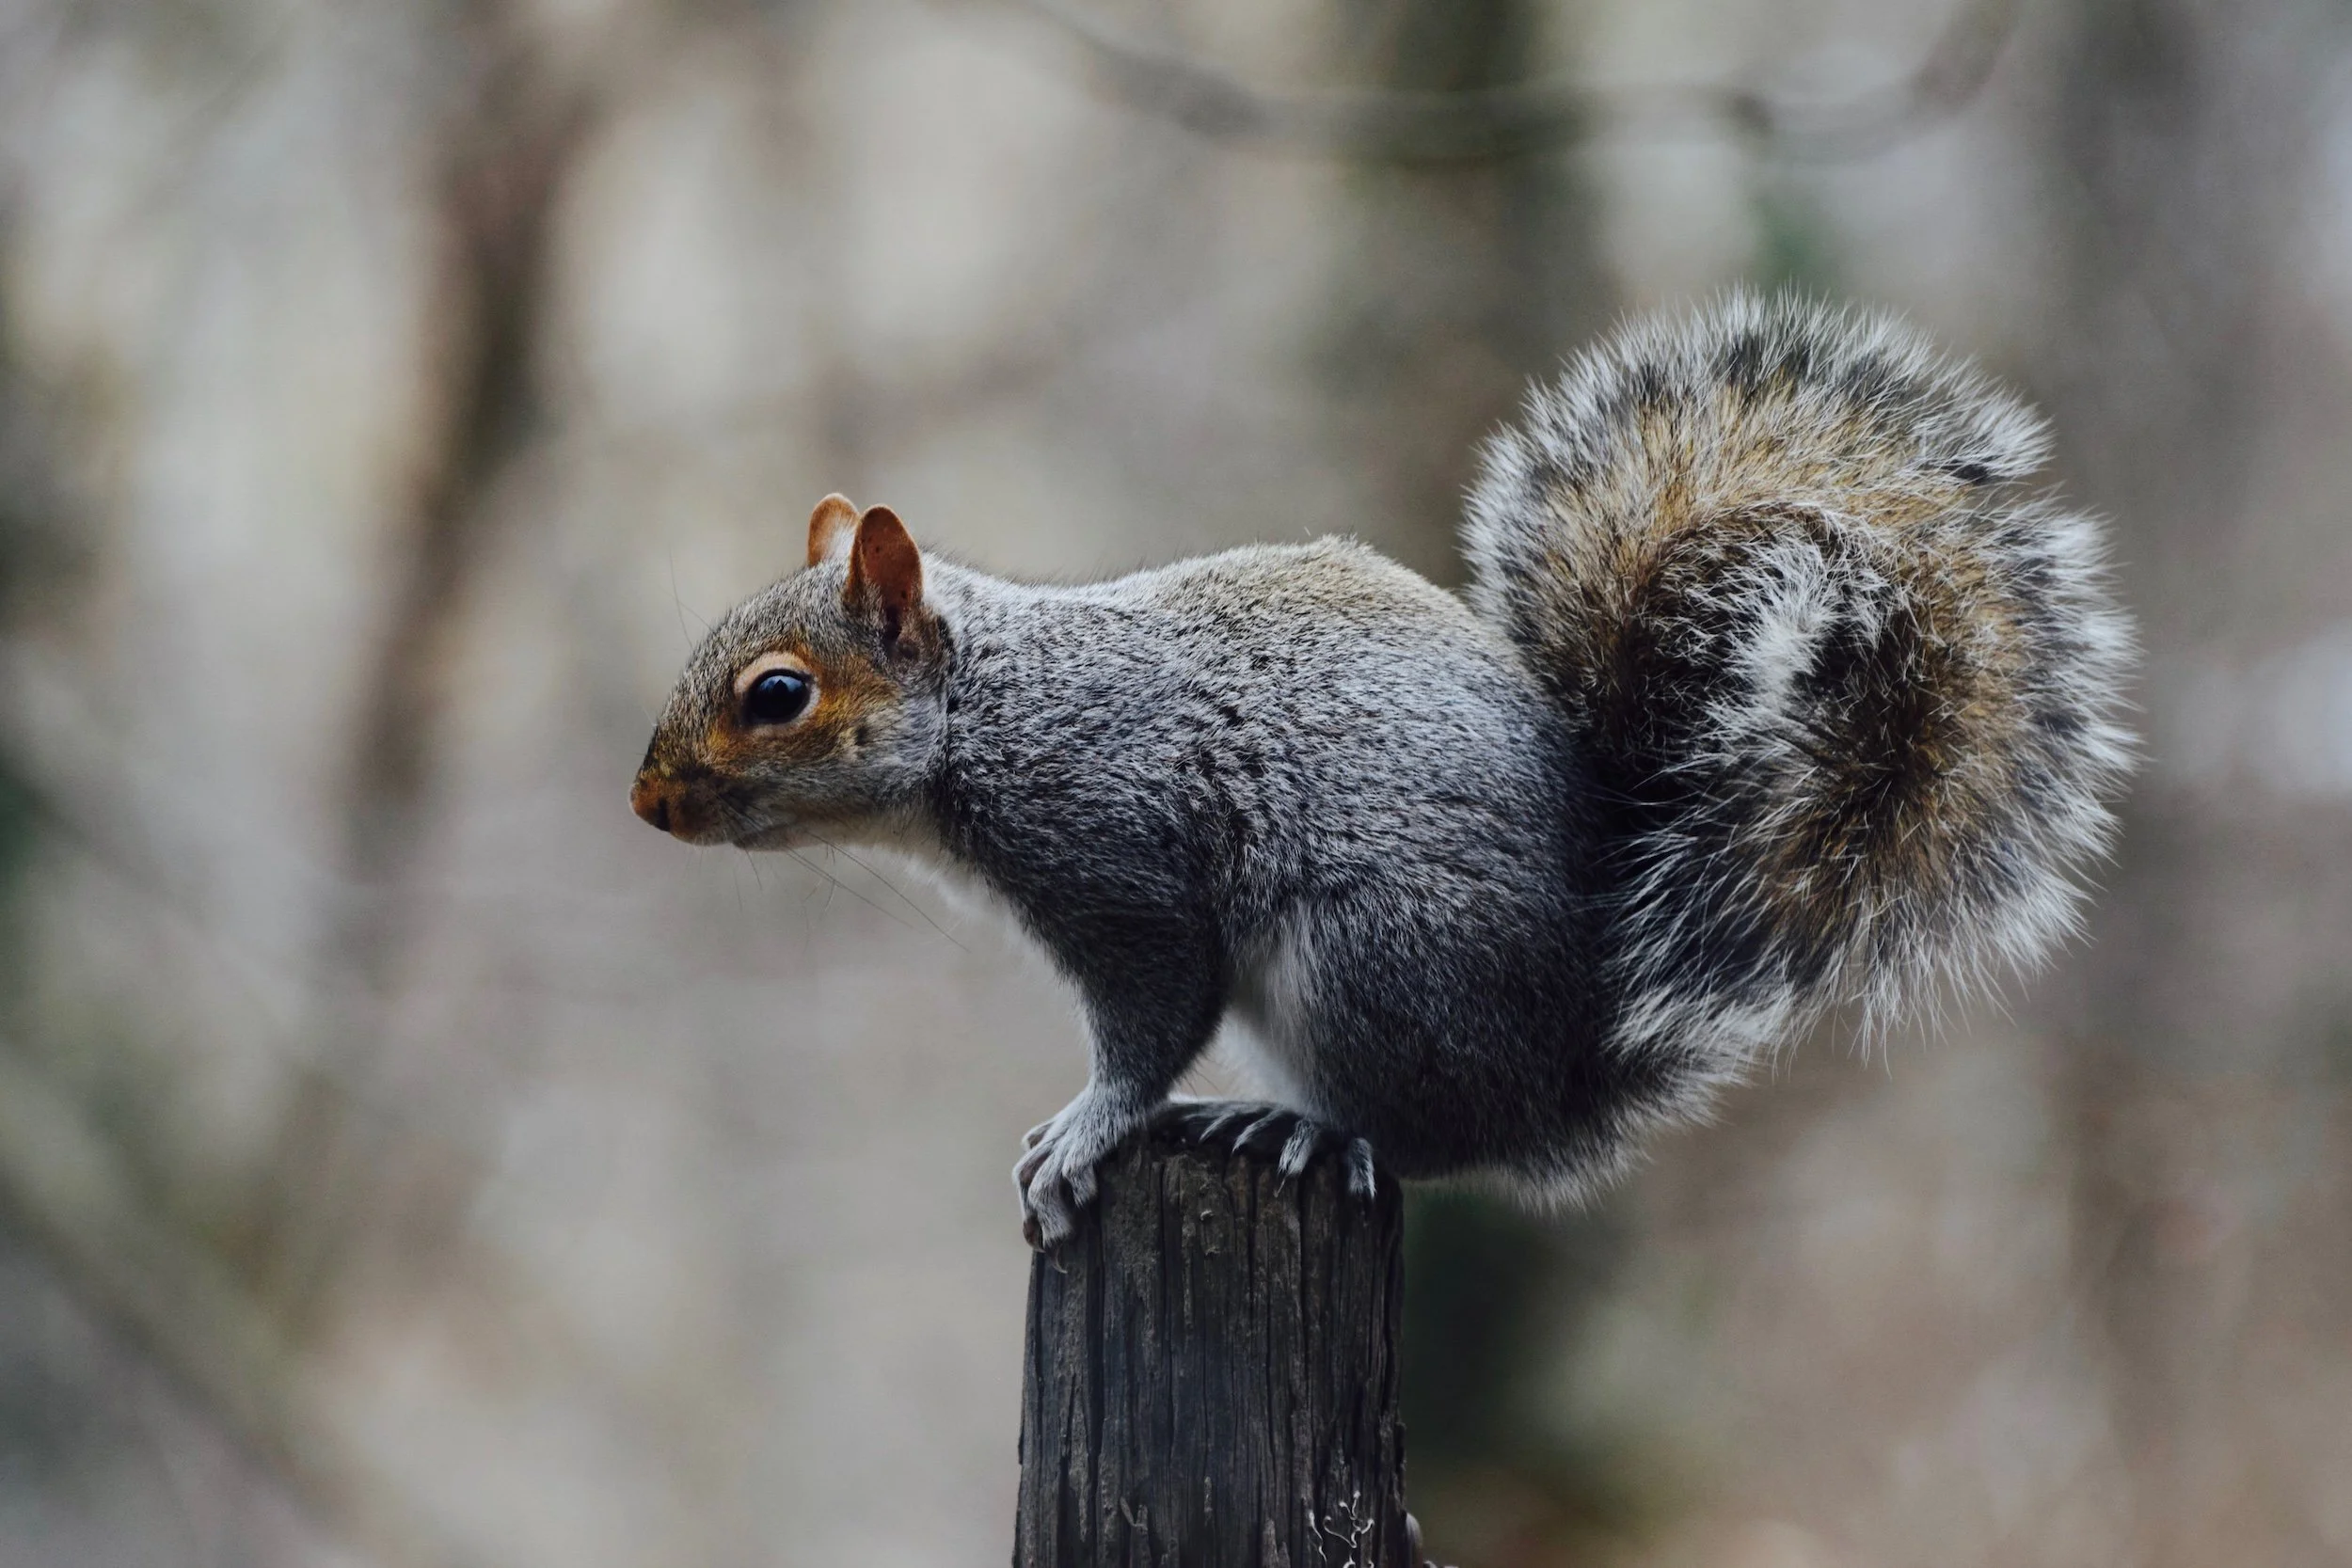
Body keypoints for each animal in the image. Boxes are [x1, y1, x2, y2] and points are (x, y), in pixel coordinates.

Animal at [630, 294, 2135, 1248]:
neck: (1002, 709)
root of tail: (1561, 1077)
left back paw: (1295, 1129)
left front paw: (1084, 1131)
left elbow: (1150, 1023)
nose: (648, 803)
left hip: (1374, 958)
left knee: (1413, 1136)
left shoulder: (1120, 856)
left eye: (777, 694)